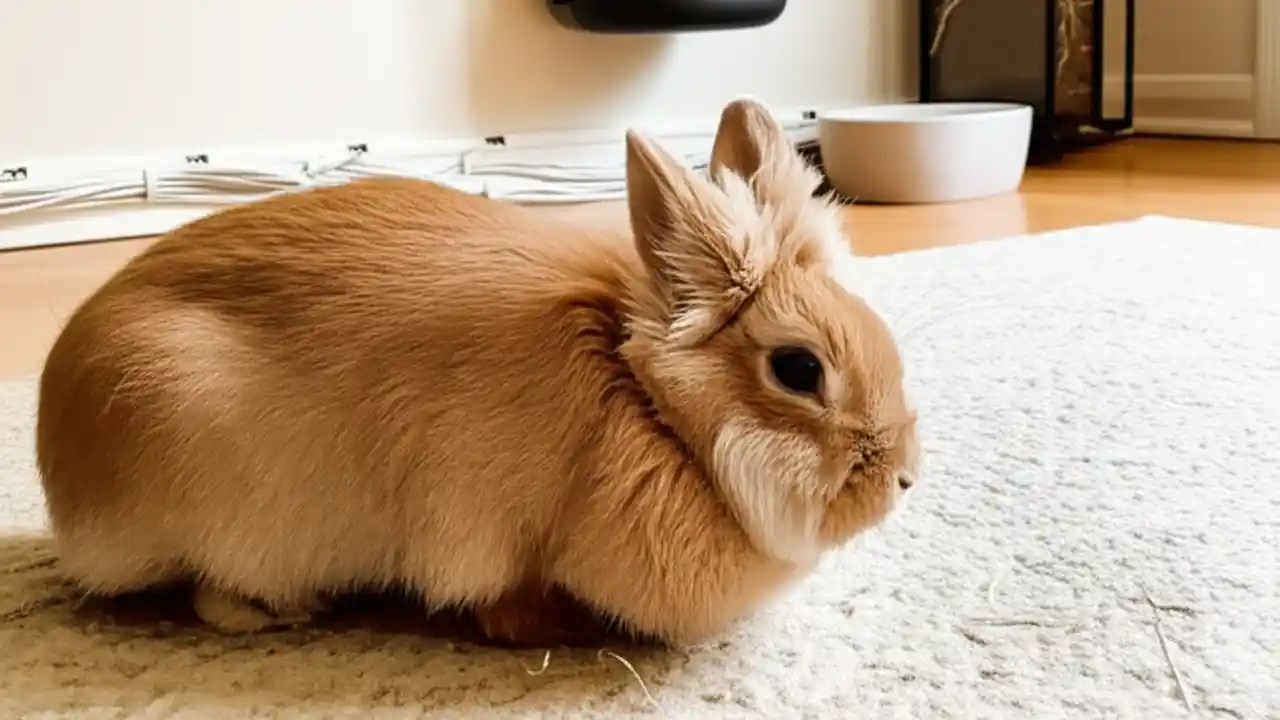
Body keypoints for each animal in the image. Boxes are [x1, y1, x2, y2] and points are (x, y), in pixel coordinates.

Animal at [35, 98, 919, 648]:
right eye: (798, 369)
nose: (905, 477)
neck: (650, 408)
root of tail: (59, 455)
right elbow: (504, 602)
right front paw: (559, 629)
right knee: (208, 591)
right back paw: (287, 611)